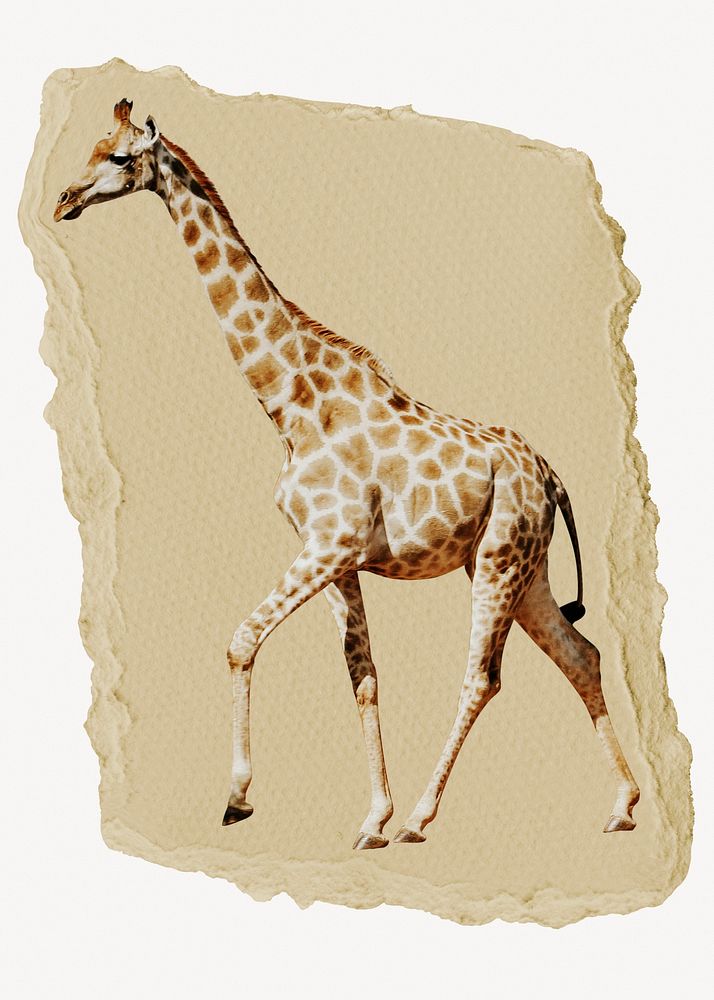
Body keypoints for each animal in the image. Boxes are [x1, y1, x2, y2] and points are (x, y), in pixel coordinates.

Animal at [54, 99, 640, 848]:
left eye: (122, 158)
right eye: (91, 146)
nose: (64, 200)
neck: (290, 402)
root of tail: (552, 474)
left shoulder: (328, 545)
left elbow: (241, 641)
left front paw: (239, 798)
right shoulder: (337, 558)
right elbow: (363, 678)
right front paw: (370, 819)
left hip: (501, 559)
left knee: (483, 676)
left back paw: (423, 818)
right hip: (522, 568)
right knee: (581, 654)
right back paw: (622, 804)